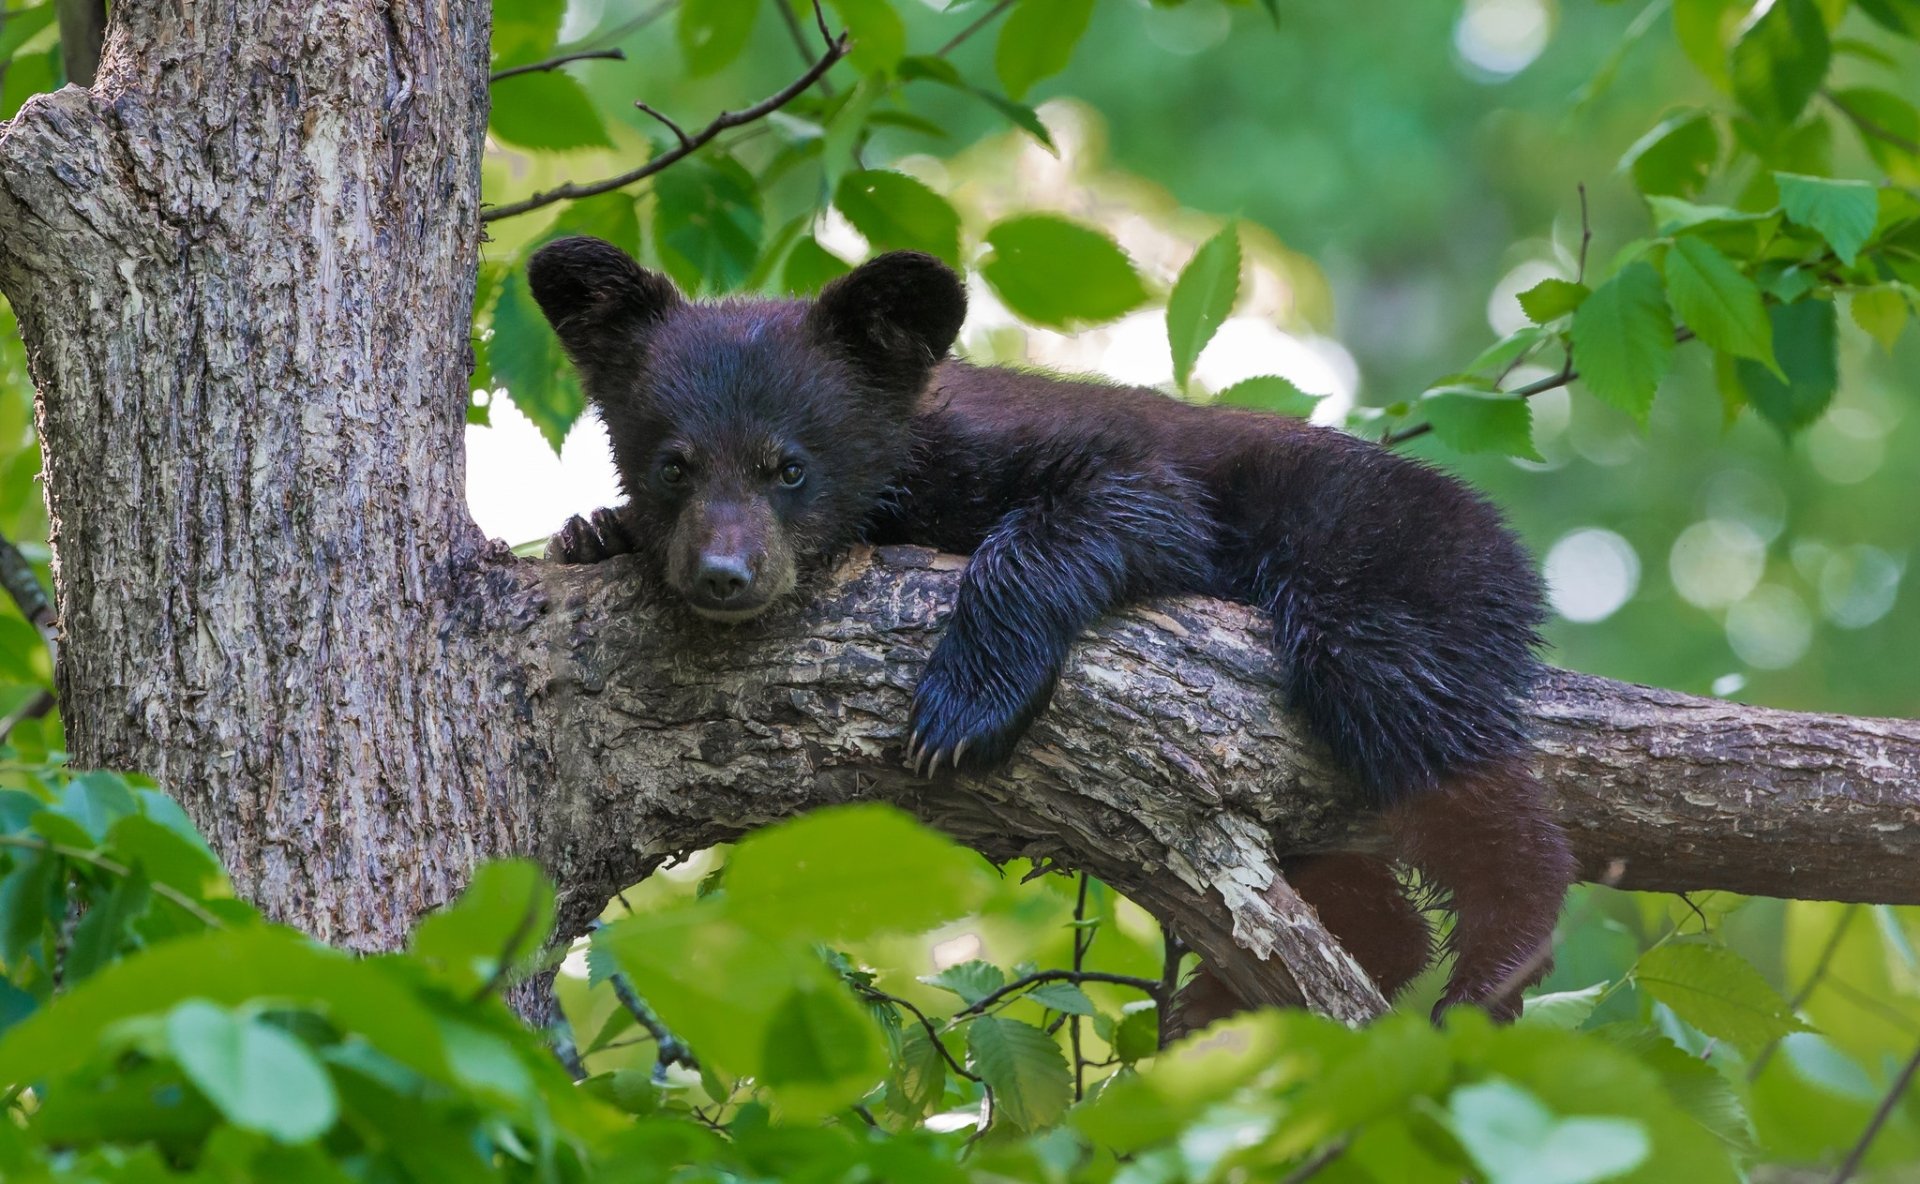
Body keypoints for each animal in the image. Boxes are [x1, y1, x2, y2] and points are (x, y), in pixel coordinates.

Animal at [526, 235, 1577, 1022]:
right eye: (673, 464)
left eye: (789, 466)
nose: (724, 574)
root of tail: (1510, 543)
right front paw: (594, 532)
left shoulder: (1065, 461)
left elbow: (1123, 506)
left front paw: (962, 708)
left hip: (1384, 565)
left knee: (1421, 721)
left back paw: (1502, 954)